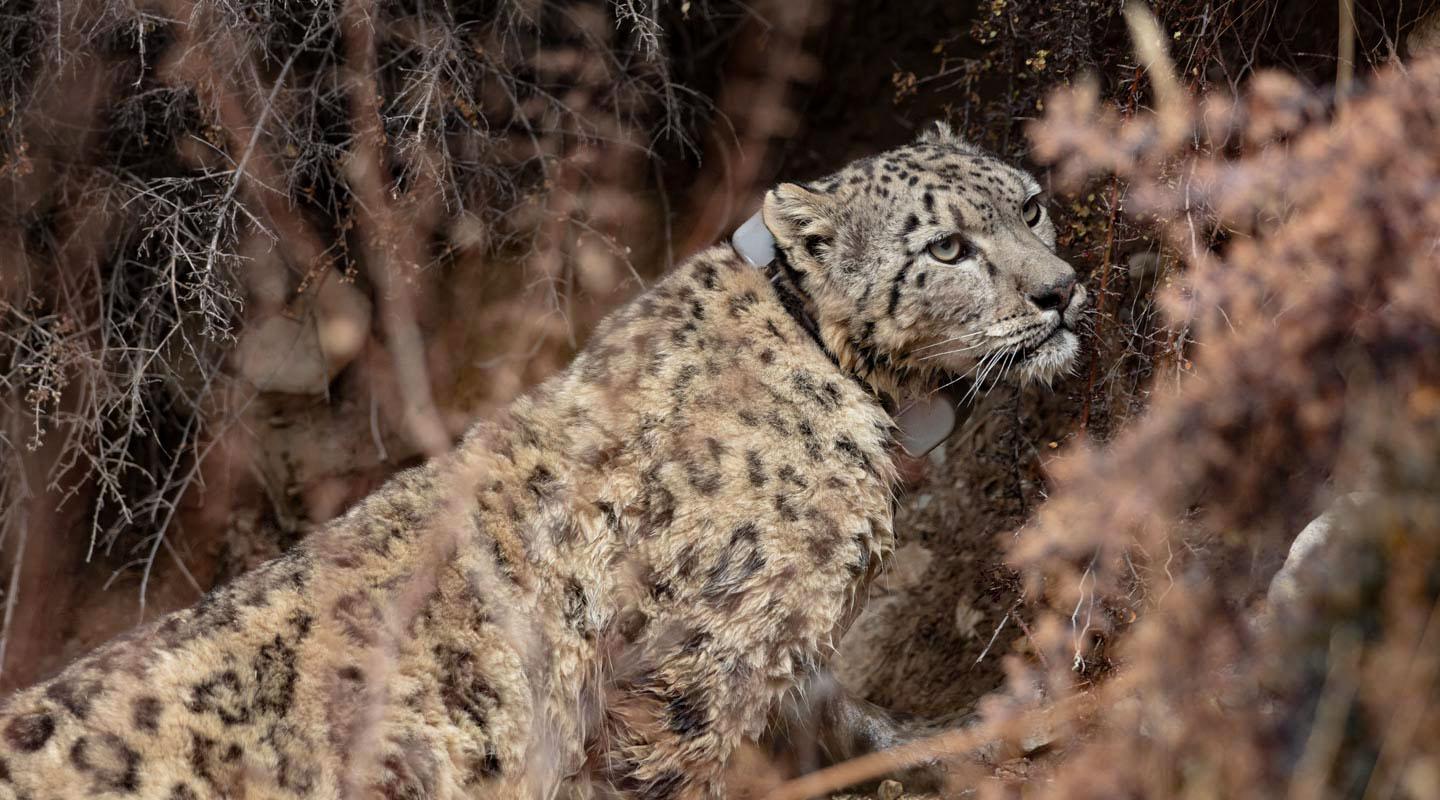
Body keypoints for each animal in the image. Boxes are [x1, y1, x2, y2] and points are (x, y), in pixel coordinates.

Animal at [0, 121, 1085, 800]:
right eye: (946, 248)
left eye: (1030, 204)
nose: (1062, 291)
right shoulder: (715, 644)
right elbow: (675, 761)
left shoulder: (783, 629)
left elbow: (838, 710)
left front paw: (950, 736)